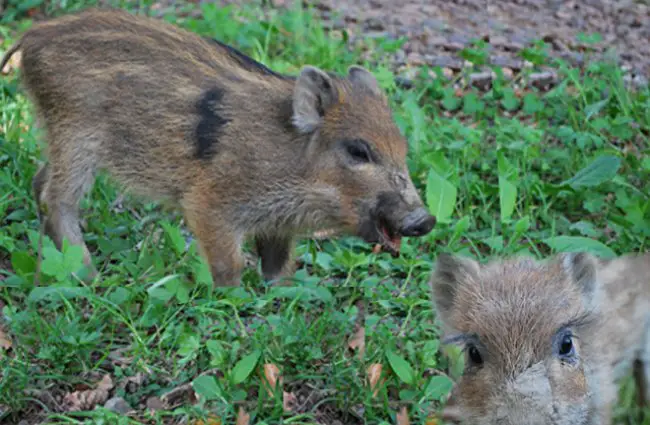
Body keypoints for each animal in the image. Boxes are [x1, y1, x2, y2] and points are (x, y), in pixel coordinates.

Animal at [0, 8, 435, 286]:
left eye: (402, 149)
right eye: (359, 152)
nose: (425, 220)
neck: (291, 162)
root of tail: (31, 36)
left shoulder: (277, 224)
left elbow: (278, 269)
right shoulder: (209, 204)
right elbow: (230, 267)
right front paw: (230, 299)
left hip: (57, 134)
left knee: (39, 183)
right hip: (77, 135)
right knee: (57, 197)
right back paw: (88, 277)